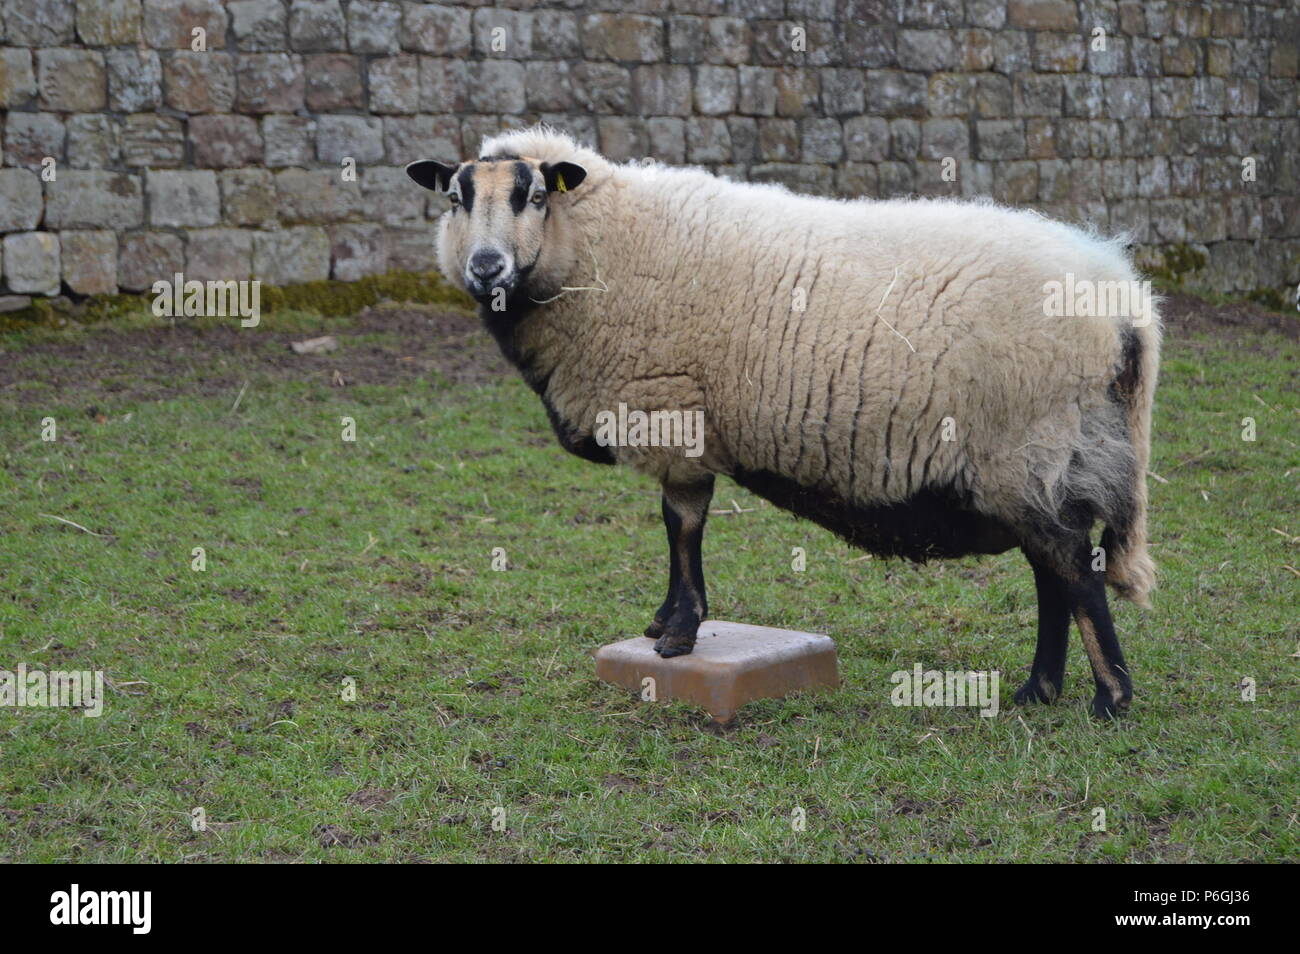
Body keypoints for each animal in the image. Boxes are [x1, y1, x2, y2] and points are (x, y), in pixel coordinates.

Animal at [406, 125, 1161, 719]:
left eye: (533, 196)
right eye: (456, 199)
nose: (487, 267)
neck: (596, 248)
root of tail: (1127, 306)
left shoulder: (675, 411)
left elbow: (681, 526)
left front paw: (677, 633)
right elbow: (676, 529)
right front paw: (663, 622)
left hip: (1029, 442)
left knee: (1073, 567)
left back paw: (1110, 698)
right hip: (1044, 456)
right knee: (1052, 569)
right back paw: (1040, 691)